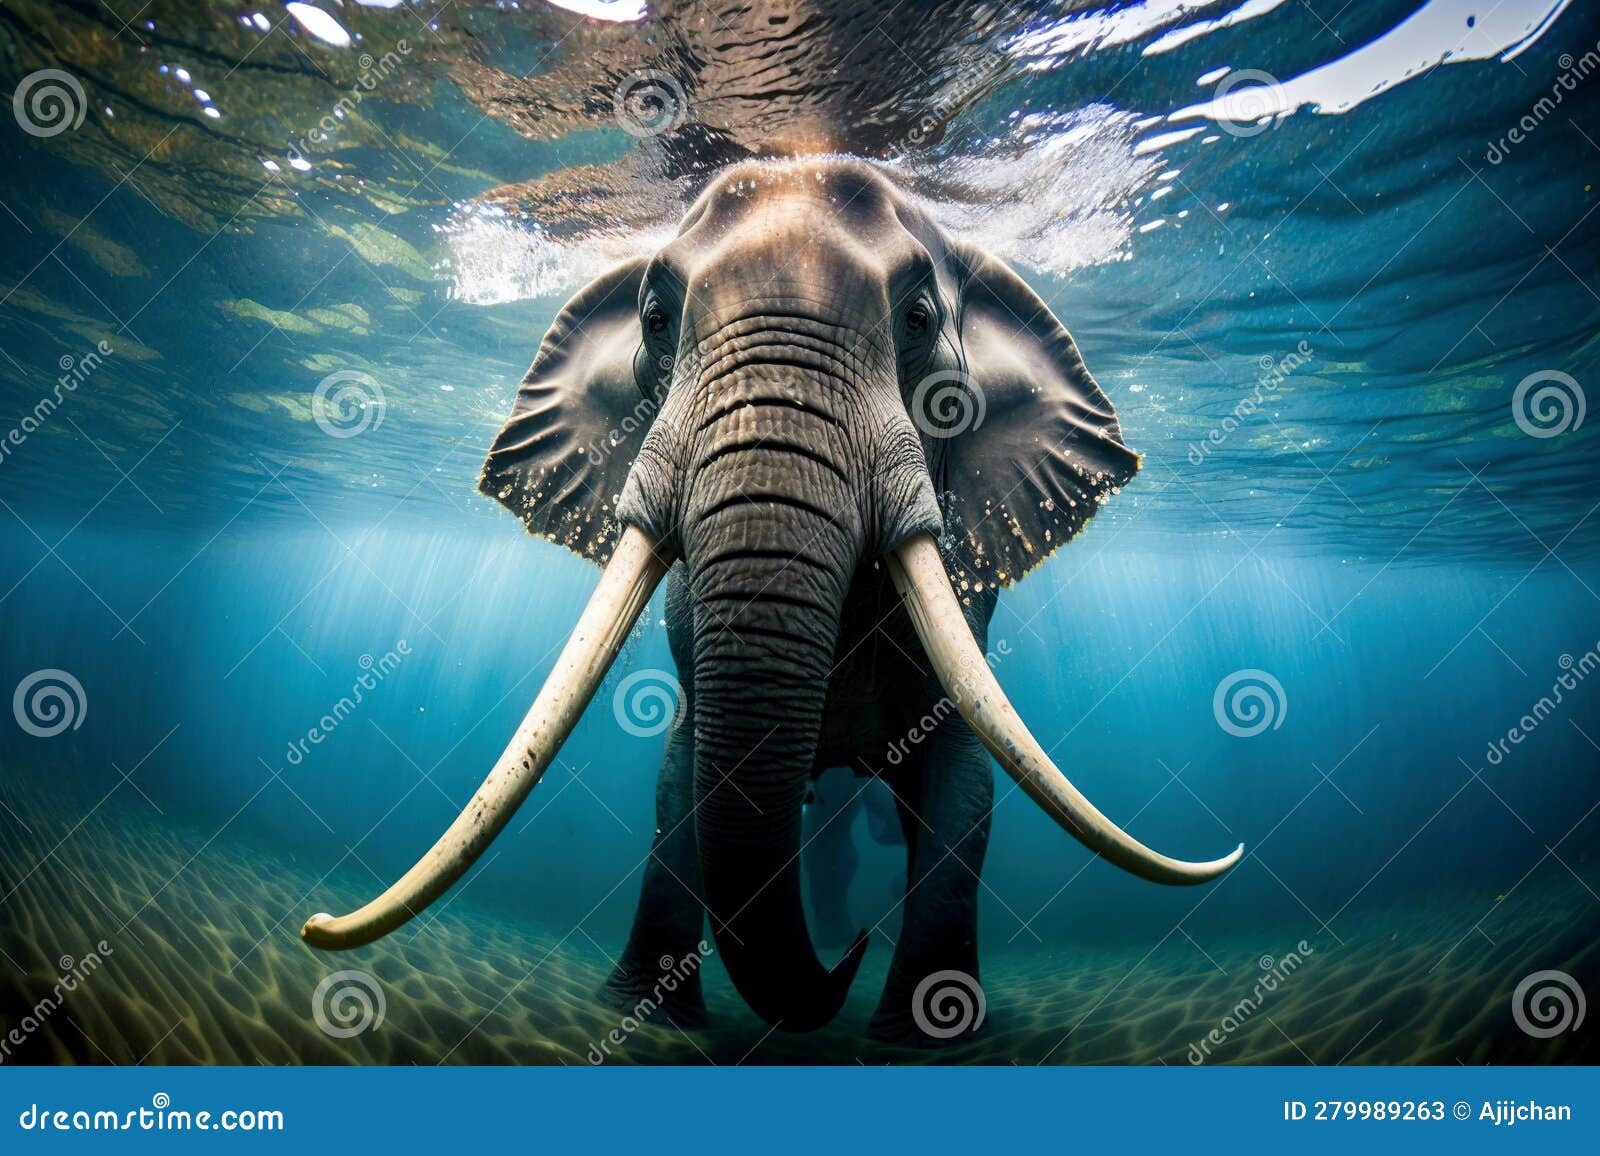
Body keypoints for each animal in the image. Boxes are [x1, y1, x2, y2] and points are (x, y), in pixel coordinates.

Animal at [302, 157, 1242, 1041]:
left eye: (918, 320)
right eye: (655, 319)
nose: (313, 925)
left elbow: (964, 795)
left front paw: (927, 1035)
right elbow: (679, 787)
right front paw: (643, 1016)